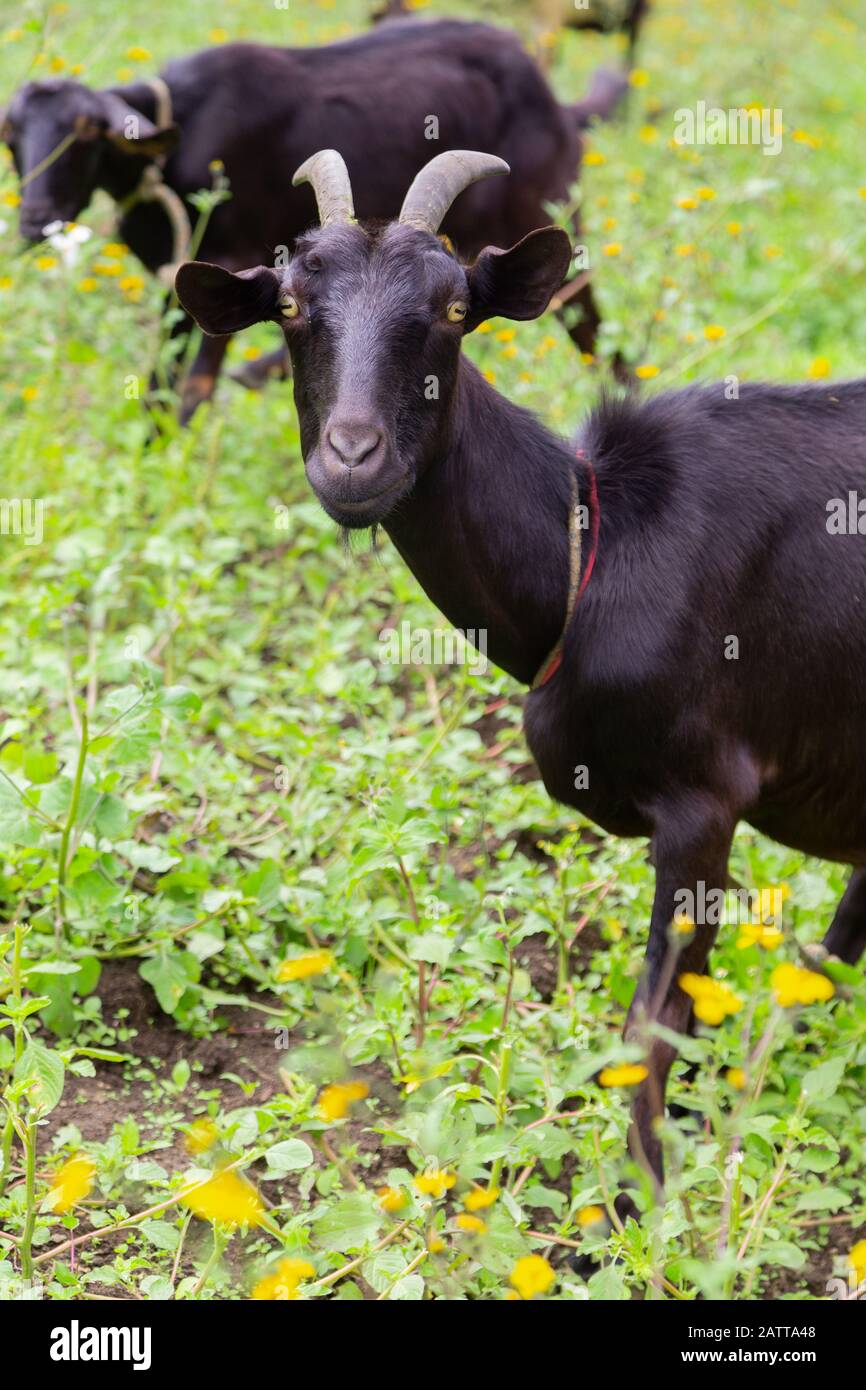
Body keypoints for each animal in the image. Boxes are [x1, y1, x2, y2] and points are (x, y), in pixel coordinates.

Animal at [2, 20, 625, 424]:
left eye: (85, 132)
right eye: (10, 135)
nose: (35, 221)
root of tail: (556, 102)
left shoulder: (233, 253)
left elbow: (193, 390)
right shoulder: (180, 277)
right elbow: (158, 385)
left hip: (546, 211)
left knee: (589, 321)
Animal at [174, 148, 866, 1196]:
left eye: (457, 308)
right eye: (289, 303)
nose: (352, 459)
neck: (594, 537)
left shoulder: (704, 802)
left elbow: (651, 1029)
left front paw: (644, 1209)